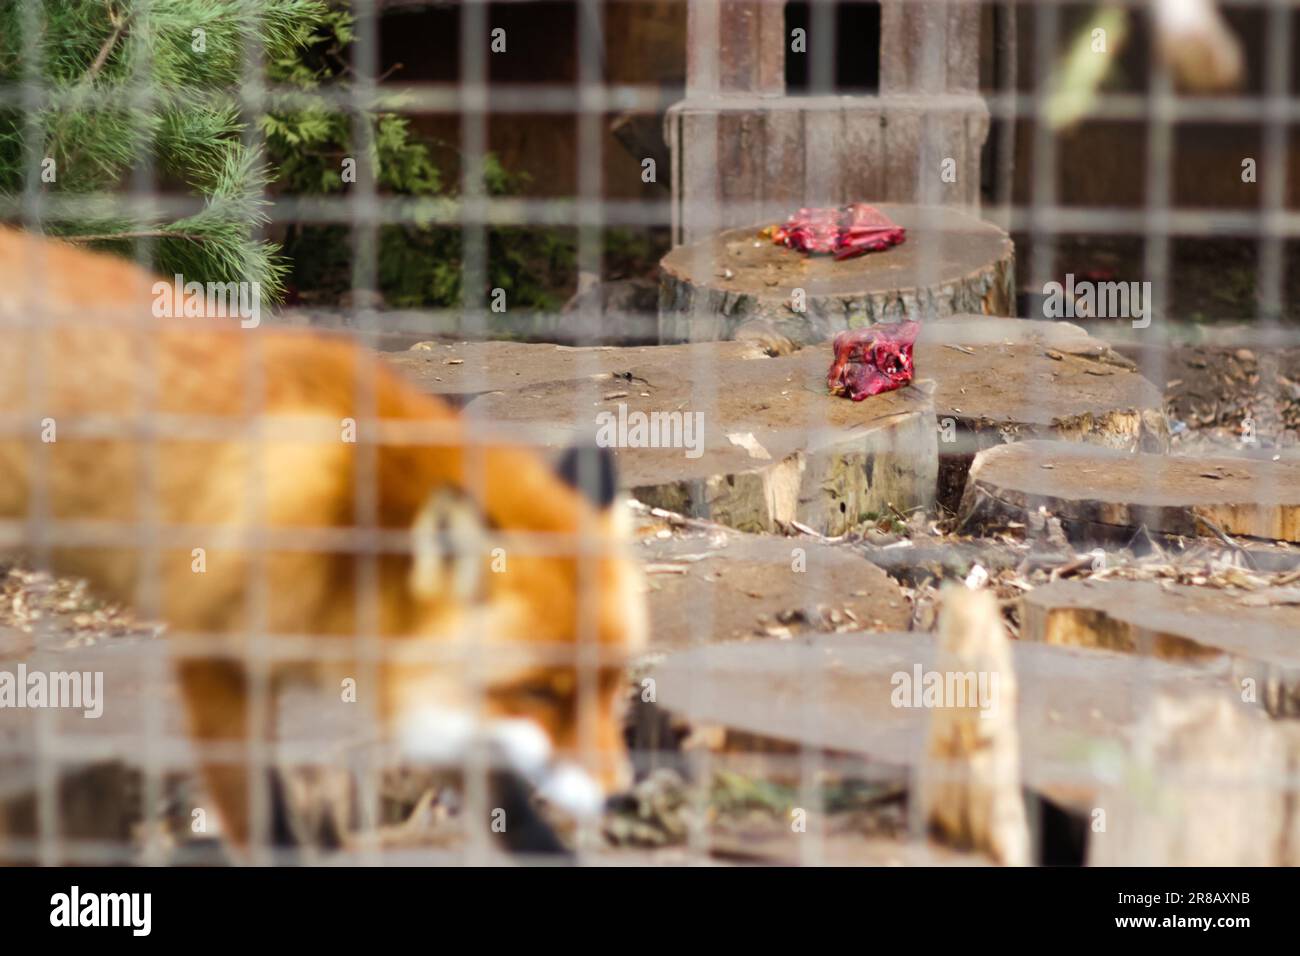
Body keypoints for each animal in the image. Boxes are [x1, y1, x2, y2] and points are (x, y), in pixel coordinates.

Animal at [0, 227, 647, 857]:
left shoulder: (425, 683)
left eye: (615, 682)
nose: (619, 797)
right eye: (537, 692)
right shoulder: (215, 653)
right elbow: (265, 823)